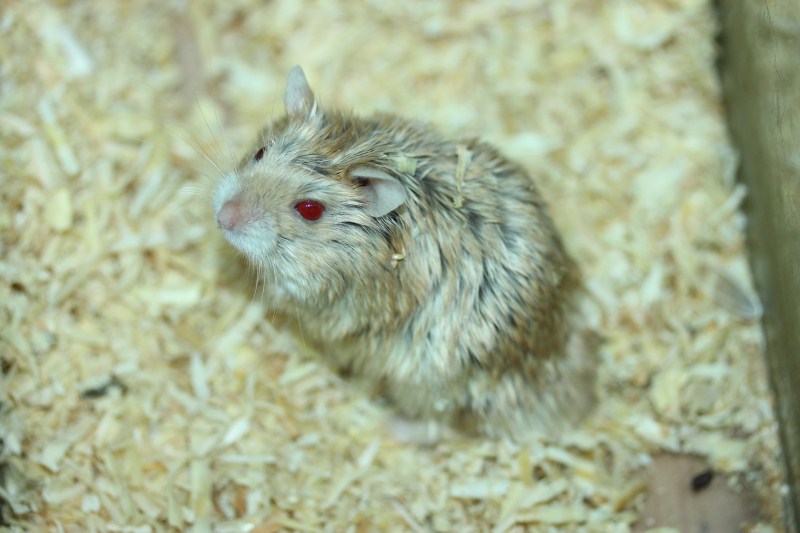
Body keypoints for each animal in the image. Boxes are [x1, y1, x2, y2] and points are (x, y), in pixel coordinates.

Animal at [214, 66, 597, 440]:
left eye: (310, 209)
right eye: (261, 152)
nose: (223, 217)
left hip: (432, 388)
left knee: (440, 428)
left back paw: (387, 427)